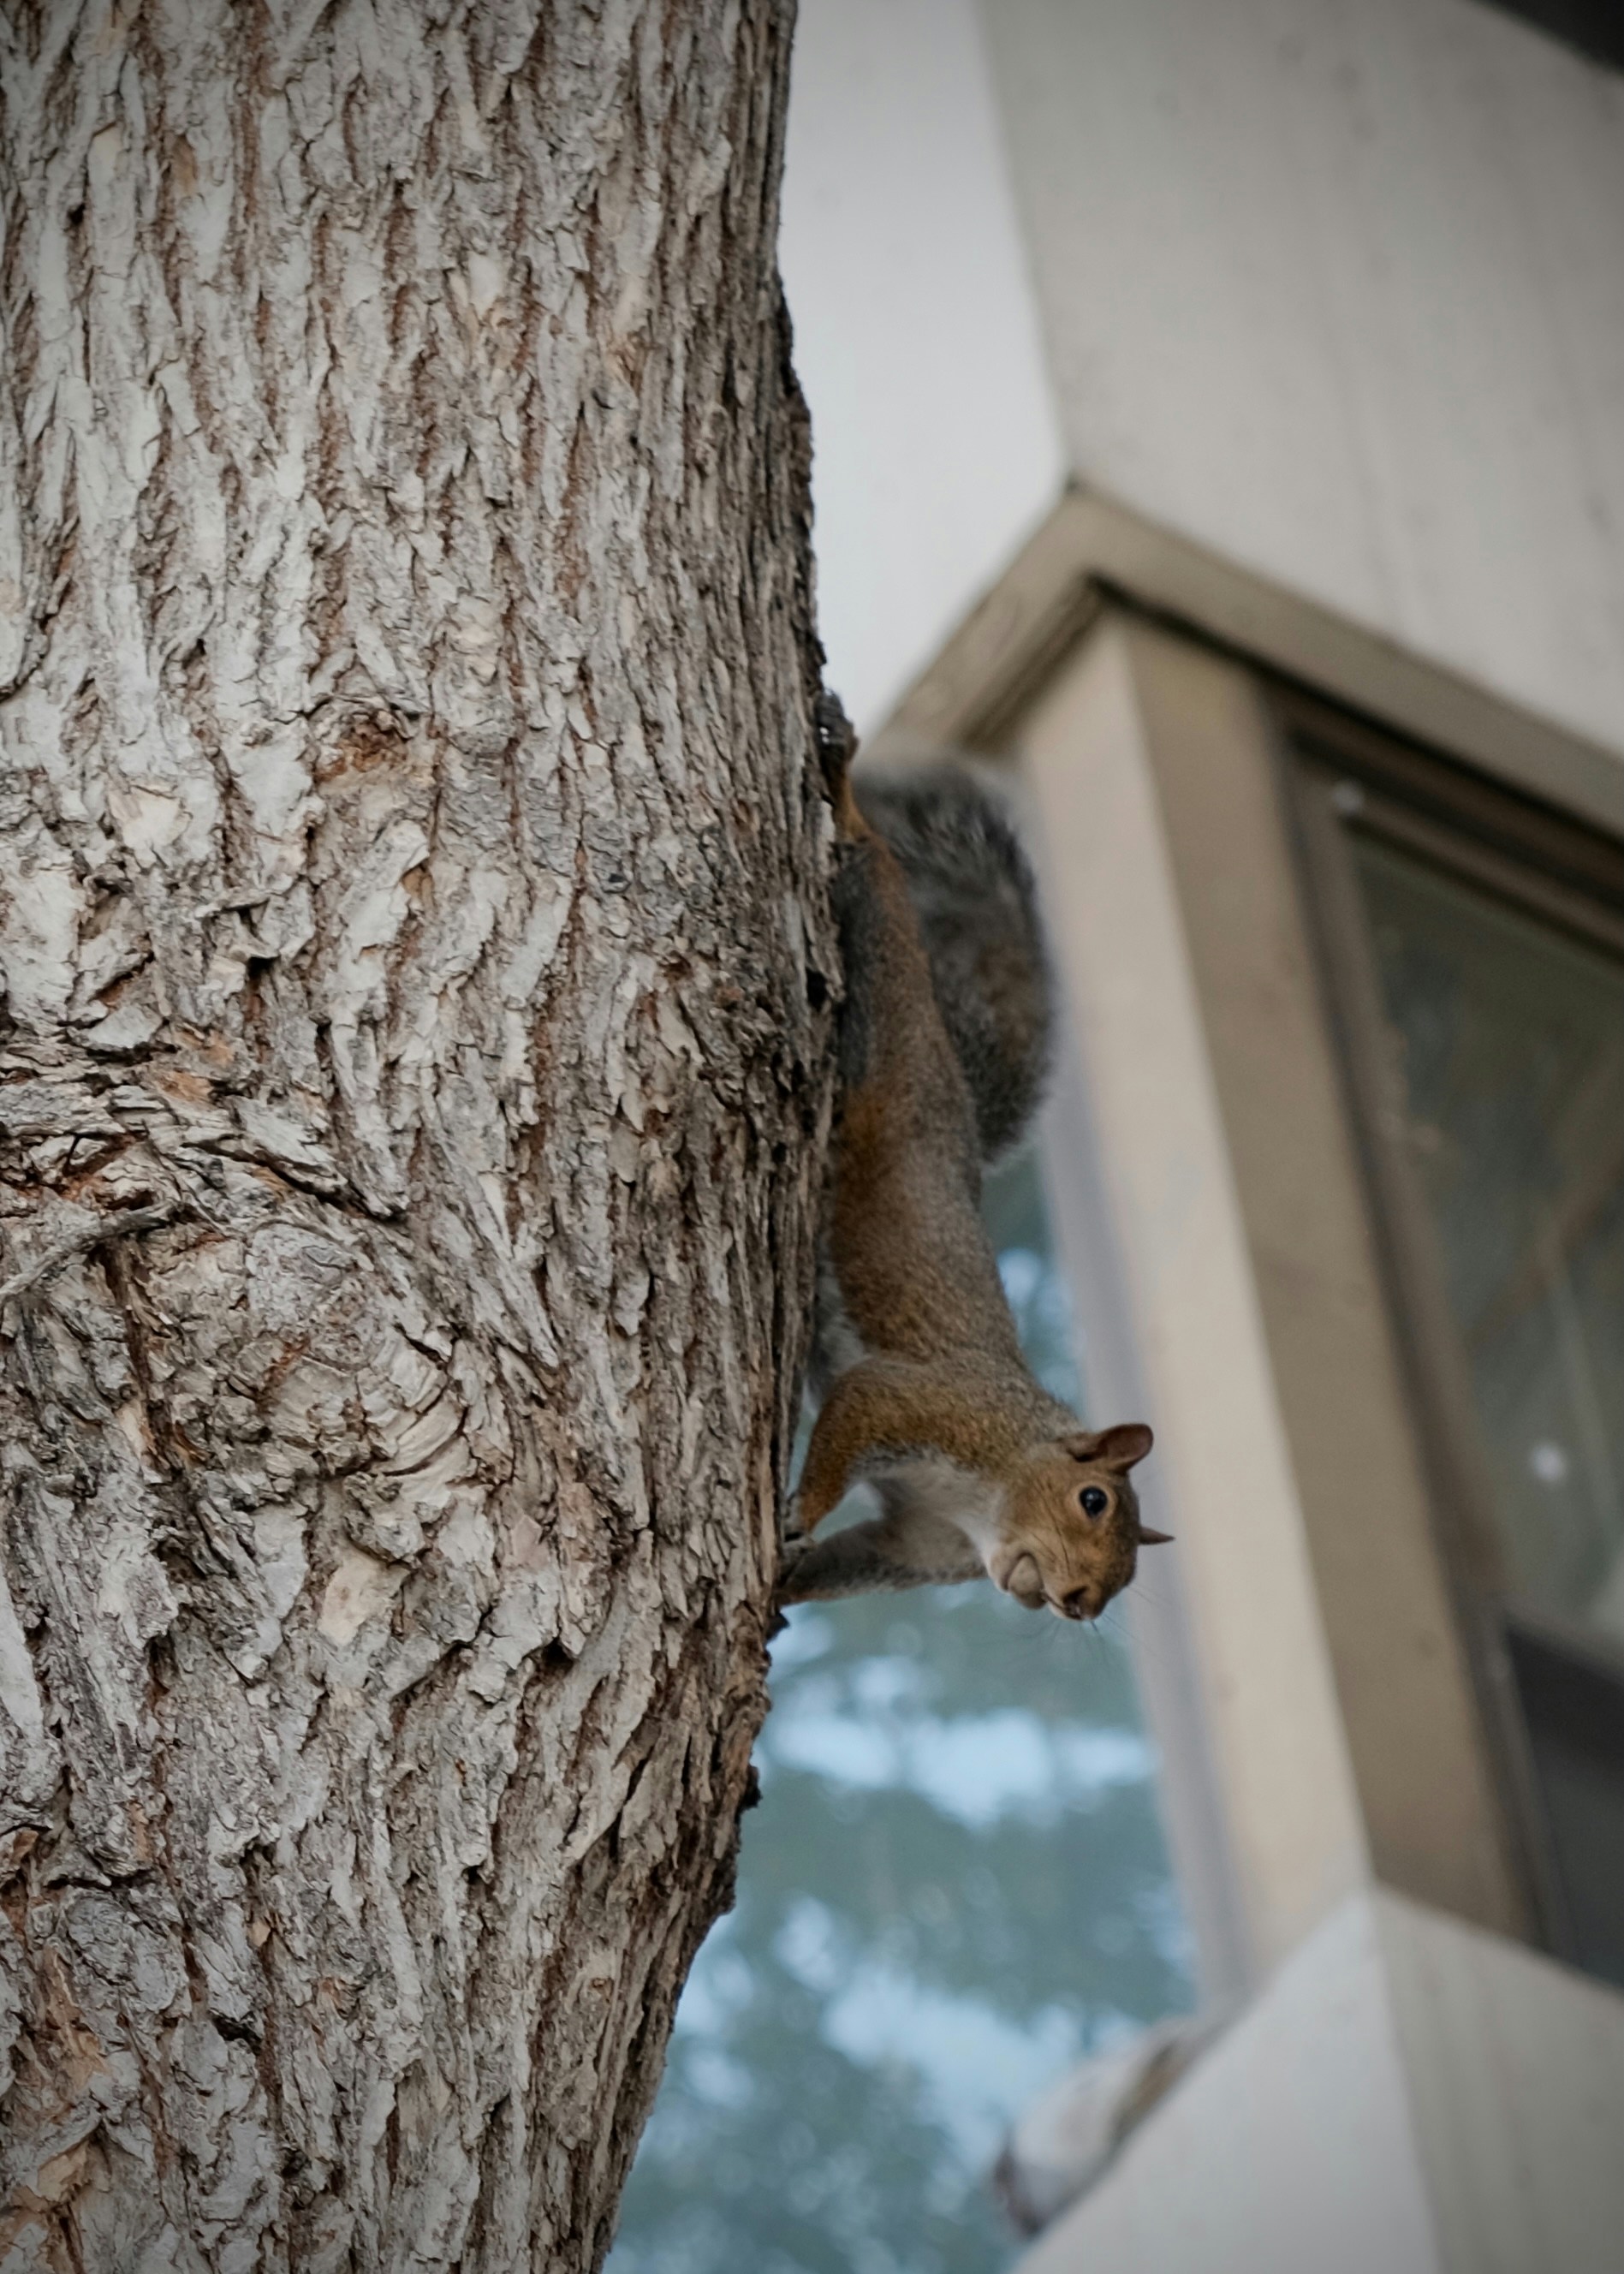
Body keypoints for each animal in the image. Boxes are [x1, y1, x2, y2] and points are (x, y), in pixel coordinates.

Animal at [778, 695, 1166, 1620]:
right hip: (885, 987)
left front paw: (778, 1589)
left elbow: (846, 1560)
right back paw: (844, 793)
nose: (1079, 1603)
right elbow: (854, 1414)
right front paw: (800, 1512)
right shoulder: (920, 1404)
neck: (983, 1496)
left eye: (1128, 1576)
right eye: (1092, 1499)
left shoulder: (916, 1546)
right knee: (872, 870)